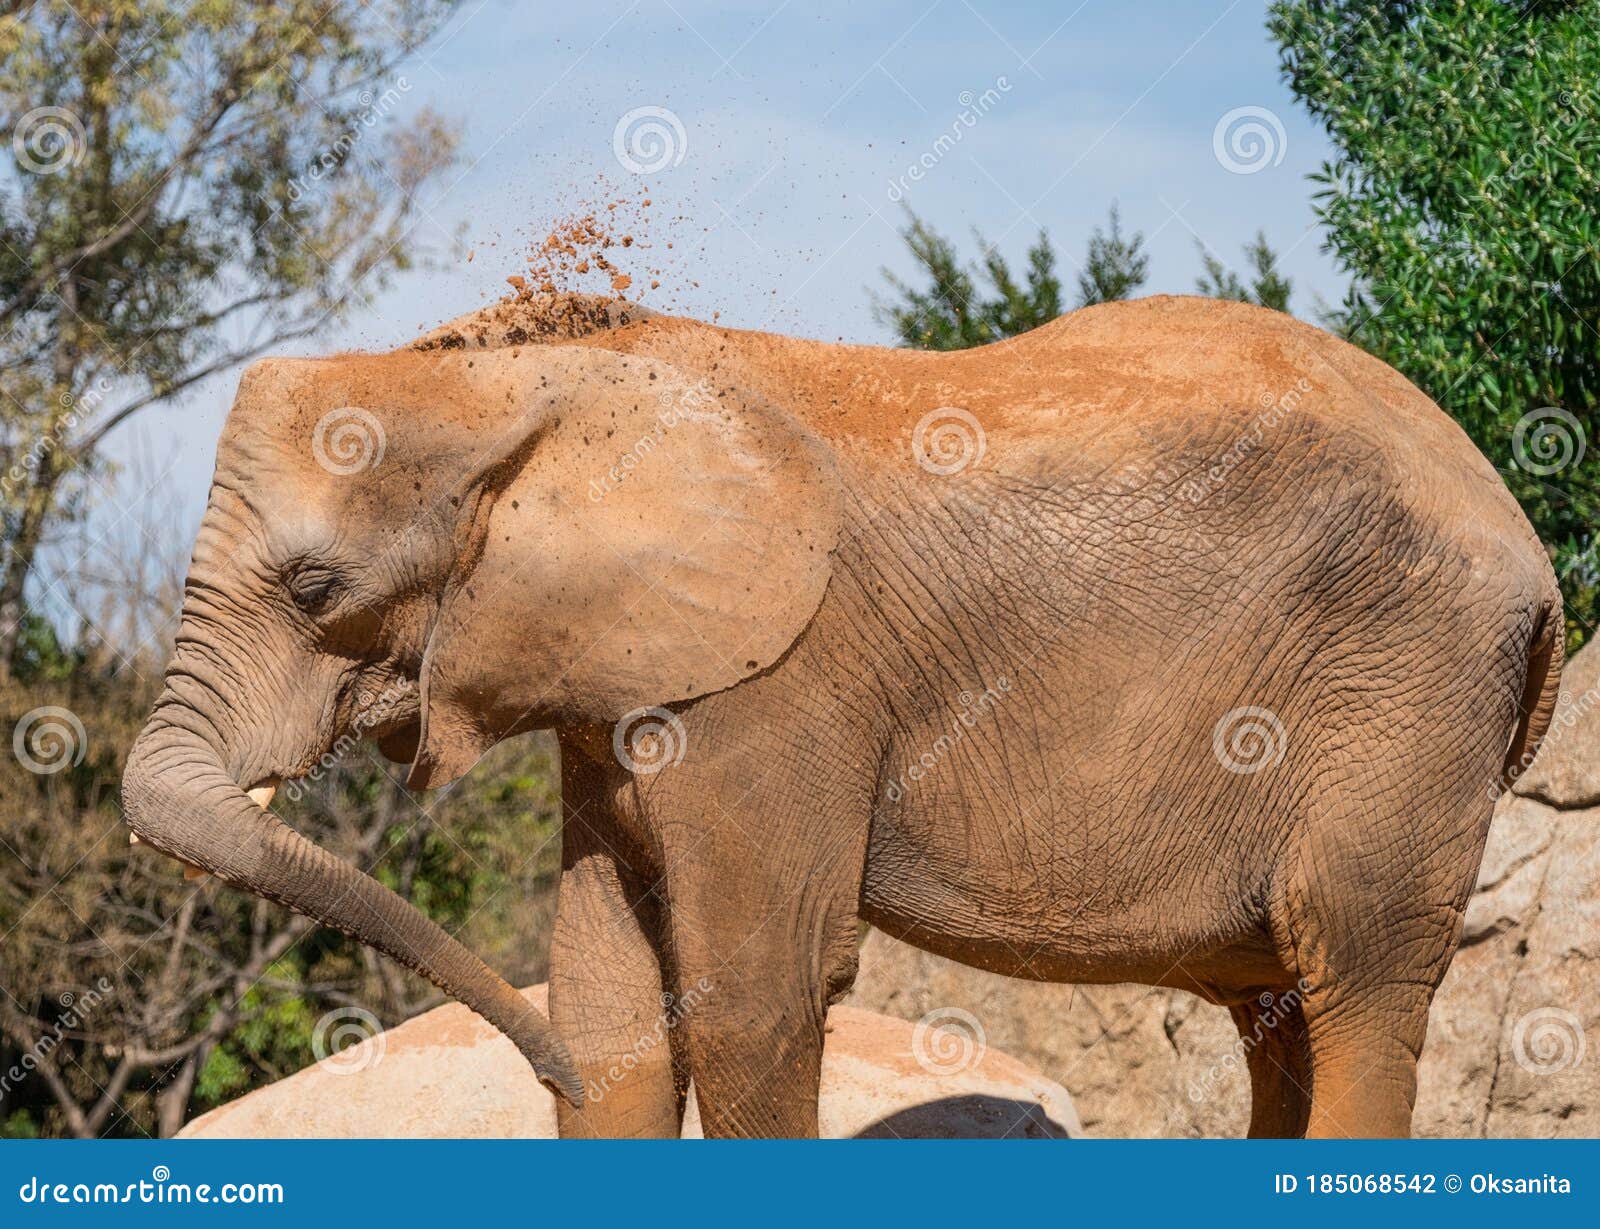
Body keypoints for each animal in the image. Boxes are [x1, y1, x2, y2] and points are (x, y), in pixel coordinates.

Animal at [121, 291, 1563, 1138]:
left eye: (315, 587)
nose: (532, 1071)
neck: (536, 380)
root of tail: (1529, 545)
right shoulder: (624, 680)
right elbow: (612, 1001)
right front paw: (589, 1054)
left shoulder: (781, 686)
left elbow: (751, 996)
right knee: (1281, 1011)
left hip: (1405, 695)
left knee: (1357, 972)